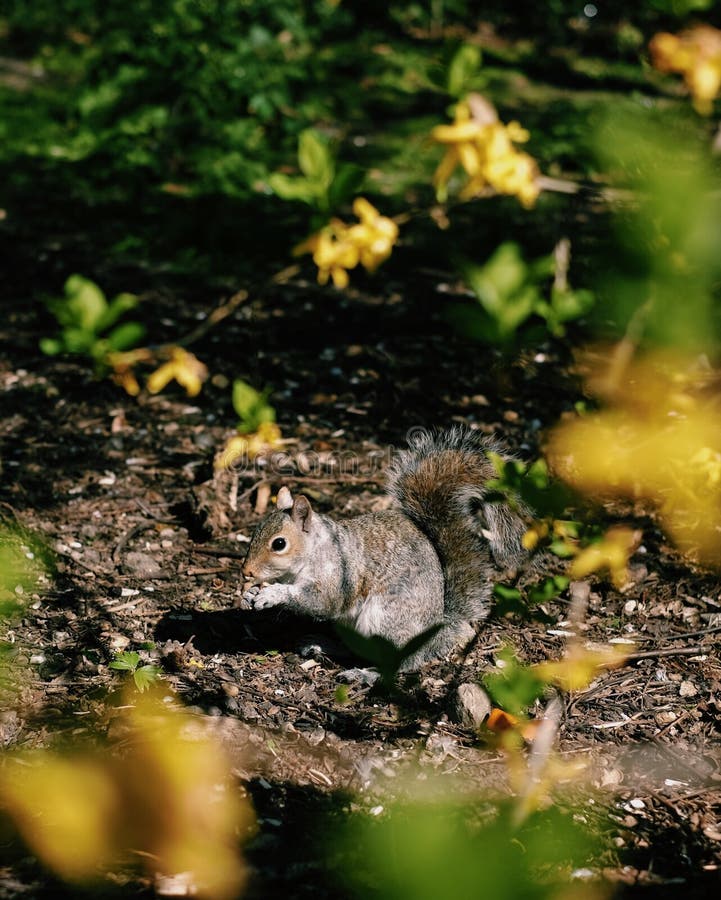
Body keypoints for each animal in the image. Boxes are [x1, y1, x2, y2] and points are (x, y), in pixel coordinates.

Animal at [241, 426, 531, 670]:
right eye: (255, 531)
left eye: (279, 544)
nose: (246, 572)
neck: (313, 551)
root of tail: (436, 630)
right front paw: (250, 594)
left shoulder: (337, 576)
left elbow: (321, 601)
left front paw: (273, 594)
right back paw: (323, 645)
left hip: (387, 622)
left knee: (398, 663)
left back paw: (366, 675)